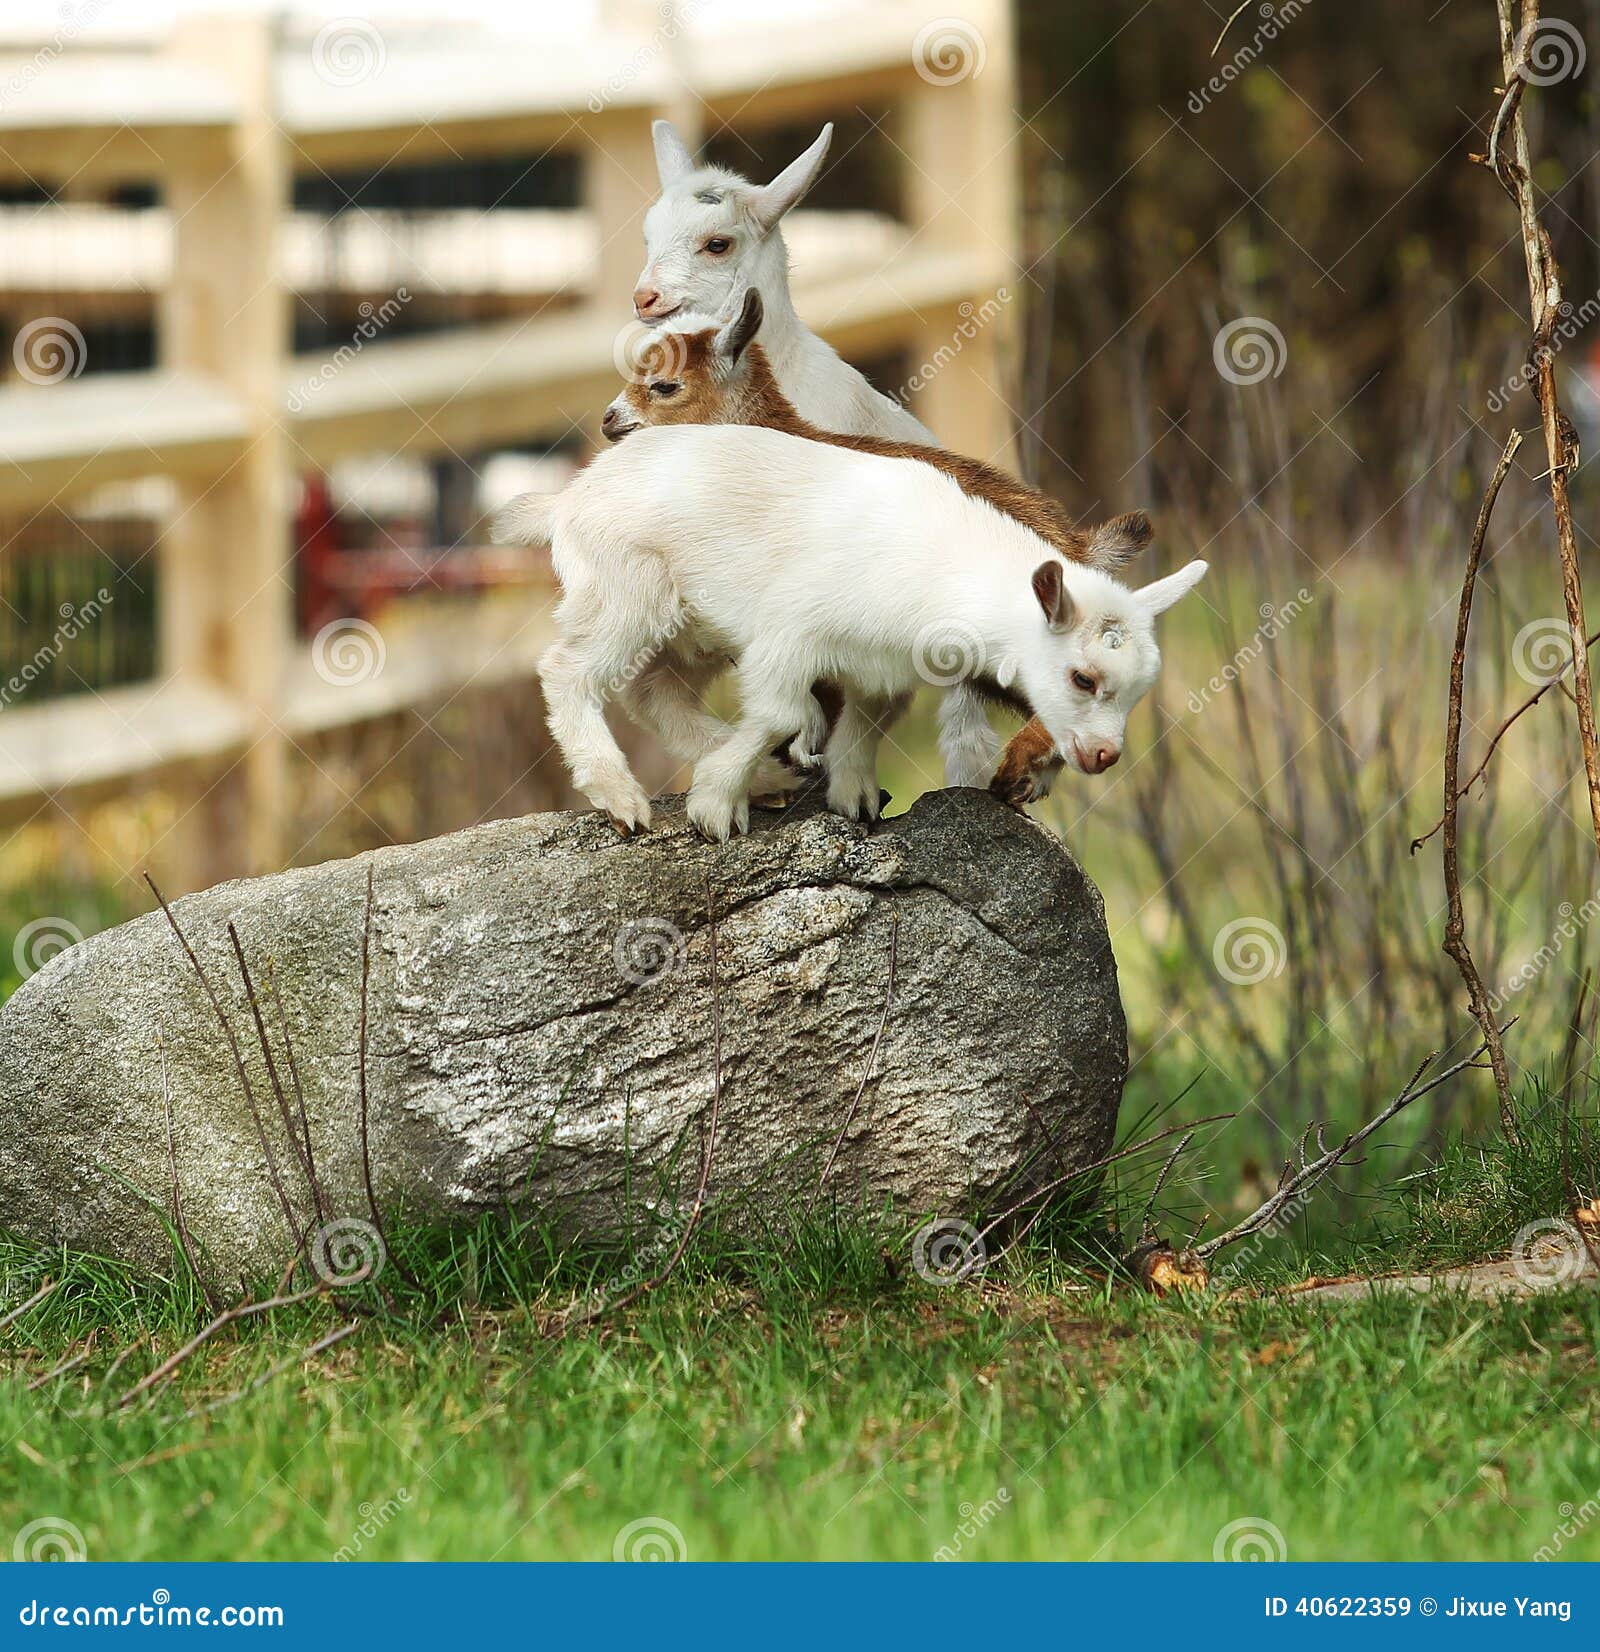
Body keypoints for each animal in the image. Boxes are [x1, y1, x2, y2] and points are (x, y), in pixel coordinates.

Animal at [496, 424, 1206, 842]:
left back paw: (766, 781)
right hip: (629, 592)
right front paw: (715, 806)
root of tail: (565, 499)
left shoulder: (883, 666)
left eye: (1139, 689)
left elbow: (868, 721)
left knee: (653, 692)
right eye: (1082, 677)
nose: (1104, 755)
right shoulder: (789, 632)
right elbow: (782, 713)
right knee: (567, 670)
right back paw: (624, 796)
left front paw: (853, 795)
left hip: (692, 628)